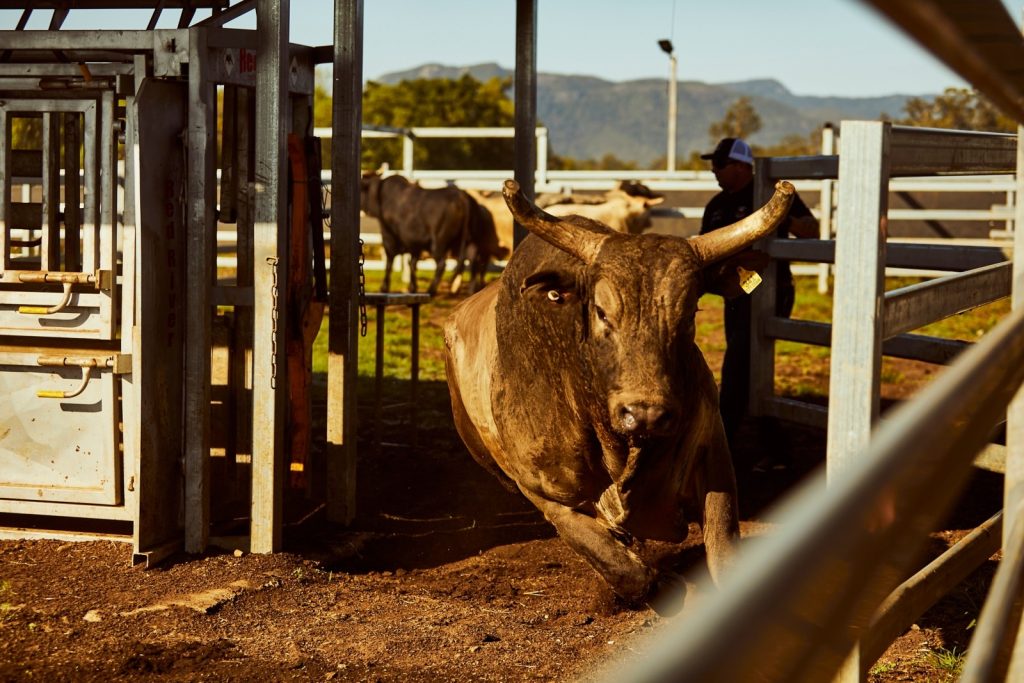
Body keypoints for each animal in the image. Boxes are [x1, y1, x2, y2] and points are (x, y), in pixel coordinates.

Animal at [360, 173, 503, 295]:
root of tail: (462, 196)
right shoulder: (414, 244)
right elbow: (412, 263)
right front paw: (412, 288)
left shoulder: (389, 238)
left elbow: (390, 263)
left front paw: (384, 287)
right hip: (469, 240)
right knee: (473, 259)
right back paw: (472, 290)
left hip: (439, 241)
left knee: (441, 264)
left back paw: (431, 290)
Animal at [444, 178, 795, 608]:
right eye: (601, 312)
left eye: (689, 314)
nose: (645, 413)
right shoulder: (543, 490)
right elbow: (624, 569)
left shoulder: (713, 449)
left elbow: (724, 549)